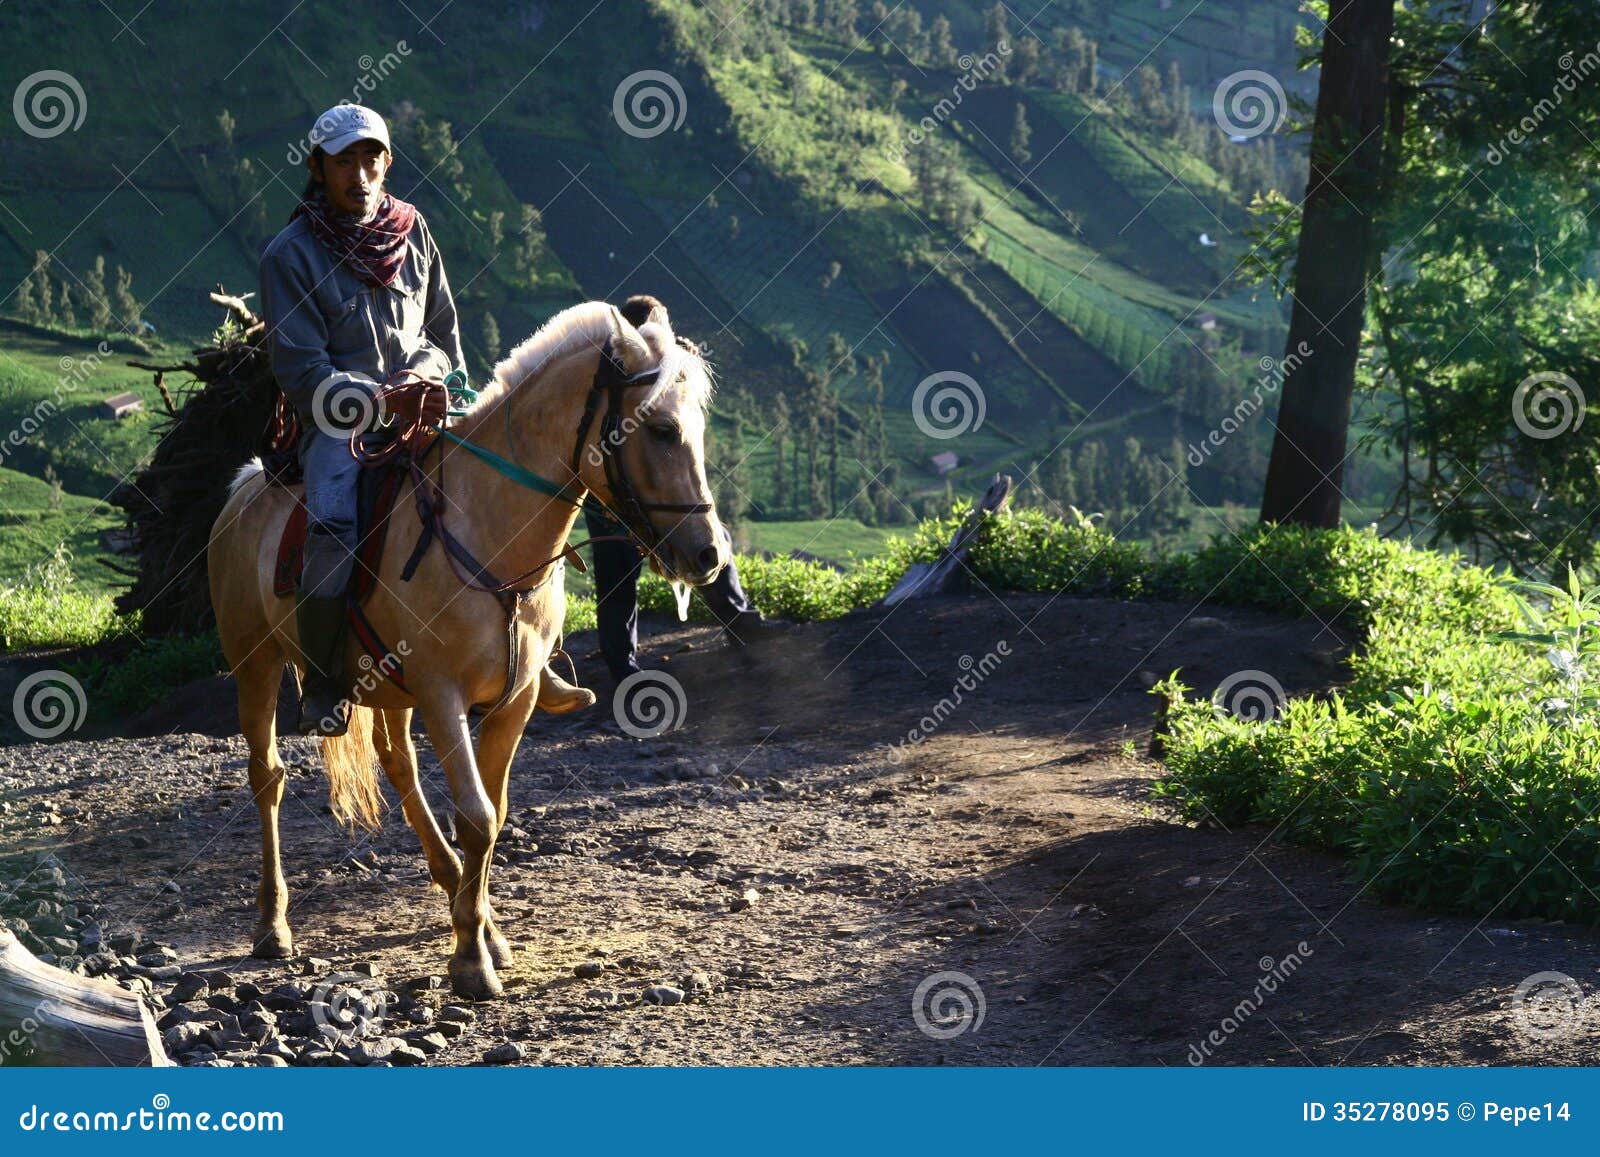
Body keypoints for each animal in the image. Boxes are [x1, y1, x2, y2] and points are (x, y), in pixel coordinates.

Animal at [207, 300, 728, 1000]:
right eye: (663, 430)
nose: (708, 554)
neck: (487, 527)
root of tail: (241, 488)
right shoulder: (442, 694)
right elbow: (477, 815)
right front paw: (471, 960)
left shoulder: (515, 699)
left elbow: (493, 813)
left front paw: (482, 930)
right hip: (256, 666)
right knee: (269, 779)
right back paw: (272, 924)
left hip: (386, 688)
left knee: (397, 765)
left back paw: (449, 881)